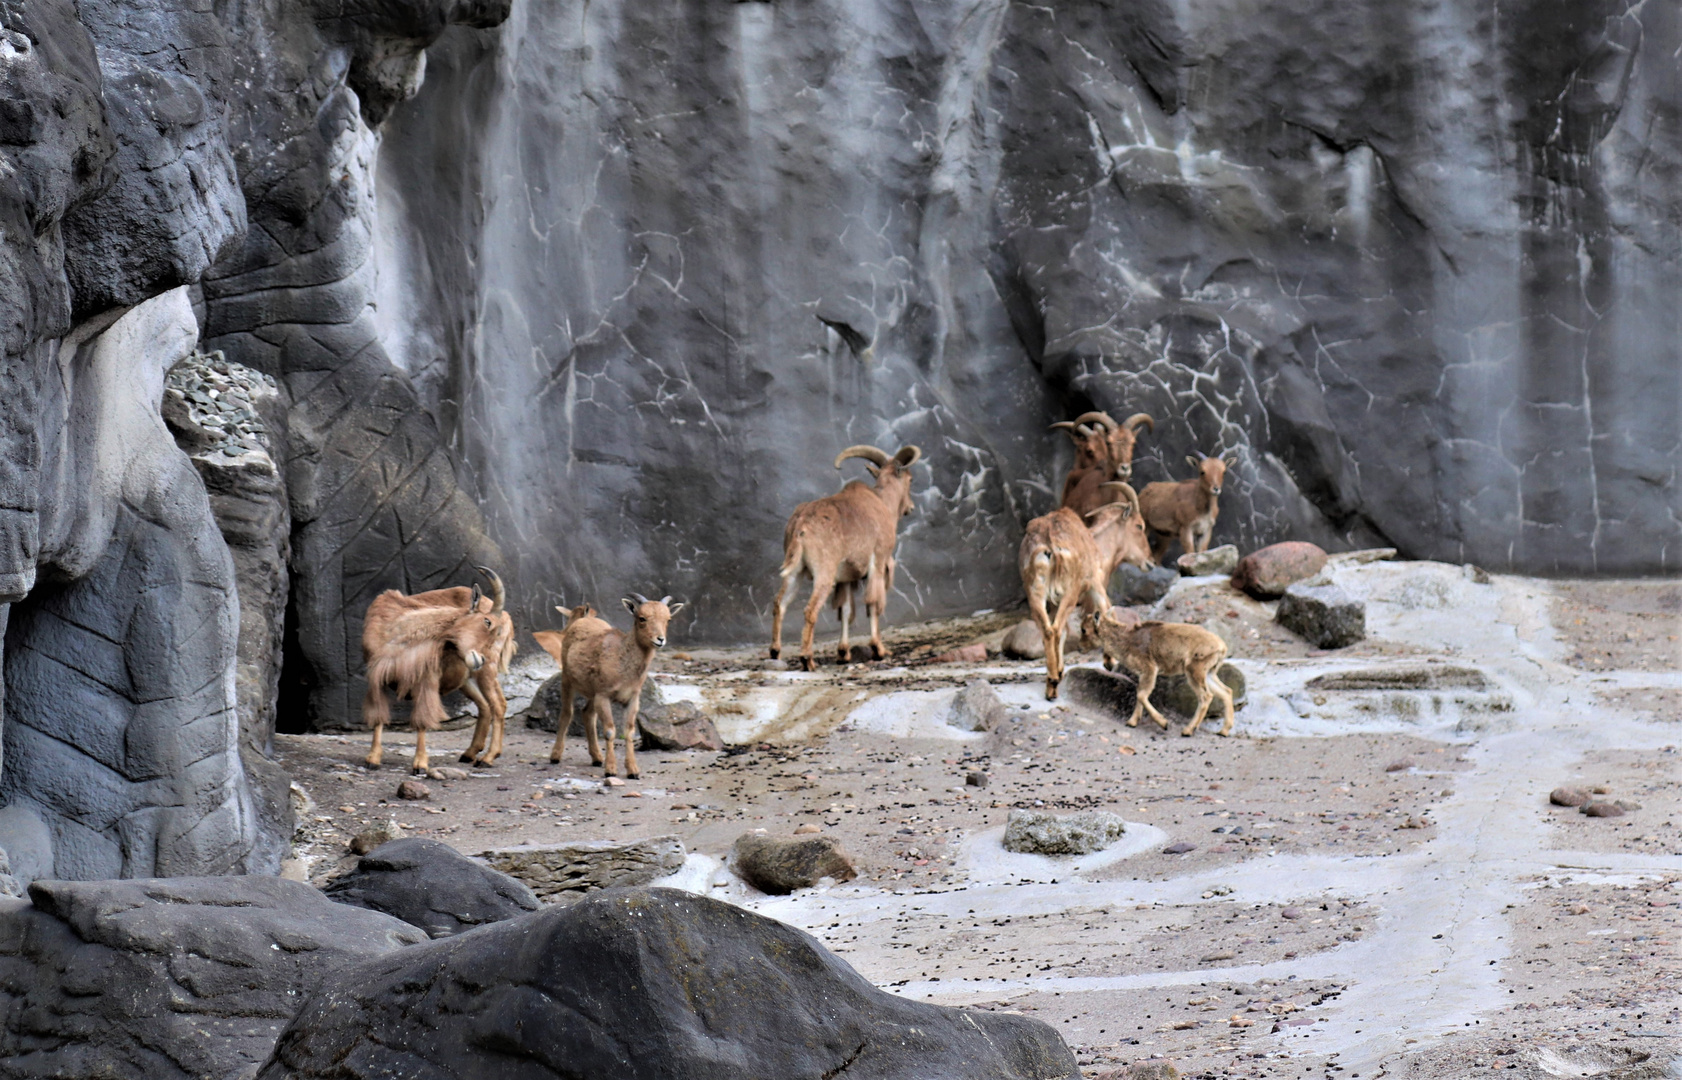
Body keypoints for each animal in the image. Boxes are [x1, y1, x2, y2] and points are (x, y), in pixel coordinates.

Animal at [362, 566, 514, 773]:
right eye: (487, 621)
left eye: (496, 631)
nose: (481, 659)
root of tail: (507, 617)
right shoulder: (377, 677)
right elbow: (378, 717)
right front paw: (373, 759)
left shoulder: (426, 679)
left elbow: (422, 720)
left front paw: (420, 763)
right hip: (467, 678)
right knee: (484, 705)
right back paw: (469, 753)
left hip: (485, 672)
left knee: (498, 704)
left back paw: (488, 758)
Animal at [535, 593, 684, 778]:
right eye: (642, 618)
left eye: (668, 619)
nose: (660, 639)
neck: (622, 663)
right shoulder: (604, 695)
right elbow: (609, 731)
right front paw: (611, 769)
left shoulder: (632, 698)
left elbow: (629, 732)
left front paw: (633, 770)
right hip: (567, 679)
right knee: (567, 713)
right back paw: (556, 756)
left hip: (592, 691)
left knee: (587, 713)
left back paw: (597, 758)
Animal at [770, 444, 921, 671]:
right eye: (910, 479)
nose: (910, 507)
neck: (882, 502)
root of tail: (801, 525)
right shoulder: (878, 563)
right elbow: (873, 604)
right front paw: (879, 649)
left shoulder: (847, 577)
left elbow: (846, 610)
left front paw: (843, 653)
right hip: (824, 573)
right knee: (810, 609)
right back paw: (807, 659)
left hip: (794, 572)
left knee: (780, 604)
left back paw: (775, 652)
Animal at [1019, 482, 1154, 700]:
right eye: (1139, 525)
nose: (1150, 562)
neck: (1096, 542)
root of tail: (1049, 540)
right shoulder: (1095, 584)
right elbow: (1107, 610)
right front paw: (1109, 661)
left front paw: (1061, 669)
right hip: (1070, 592)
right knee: (1055, 629)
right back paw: (1053, 681)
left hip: (1035, 592)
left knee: (1049, 629)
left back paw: (1051, 683)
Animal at [1083, 610, 1235, 736]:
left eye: (1083, 629)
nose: (1081, 647)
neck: (1127, 640)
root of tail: (1222, 647)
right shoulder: (1142, 675)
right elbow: (1139, 694)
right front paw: (1132, 722)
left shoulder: (1150, 669)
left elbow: (1142, 695)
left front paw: (1164, 723)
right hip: (1208, 674)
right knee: (1226, 691)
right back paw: (1223, 731)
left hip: (1194, 672)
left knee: (1206, 697)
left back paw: (1188, 730)